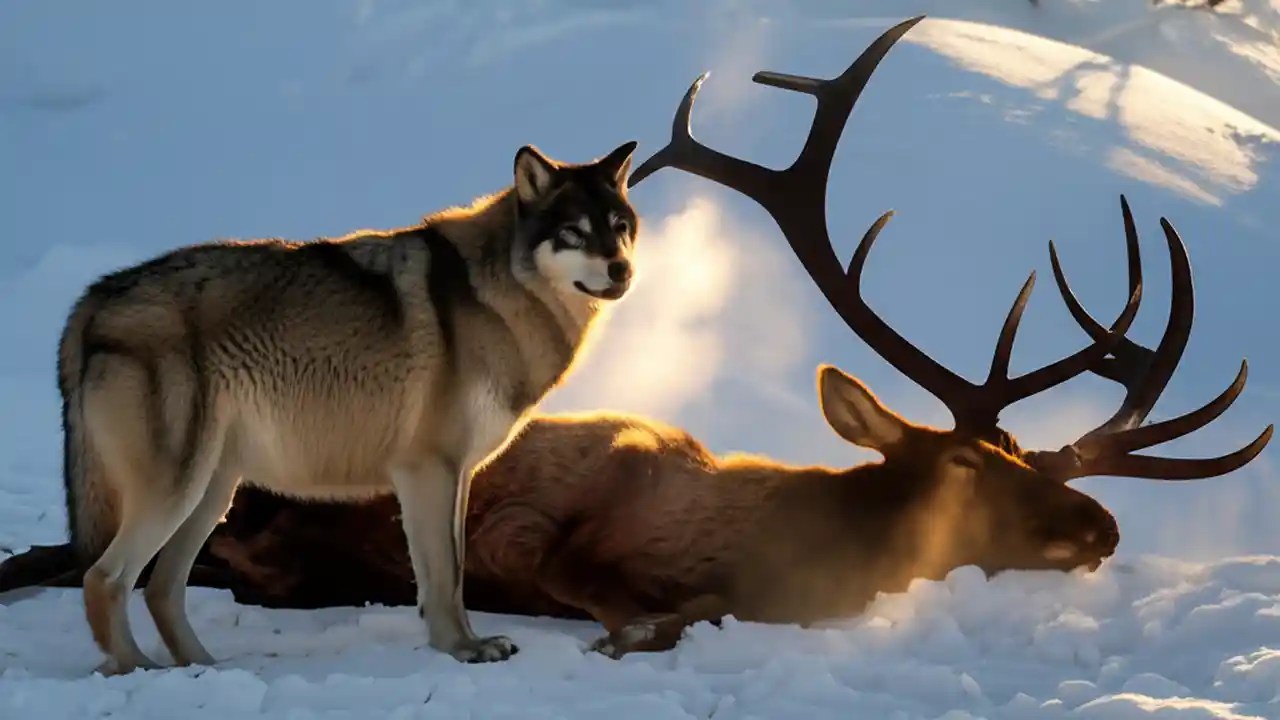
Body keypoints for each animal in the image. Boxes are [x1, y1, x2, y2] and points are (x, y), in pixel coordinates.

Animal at [56, 140, 640, 674]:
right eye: (574, 233)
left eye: (619, 226)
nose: (622, 270)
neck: (497, 295)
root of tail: (97, 297)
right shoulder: (427, 470)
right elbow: (445, 577)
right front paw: (461, 651)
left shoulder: (458, 475)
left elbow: (451, 576)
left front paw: (465, 644)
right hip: (177, 492)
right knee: (104, 579)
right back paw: (139, 669)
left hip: (211, 493)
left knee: (160, 588)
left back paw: (205, 667)